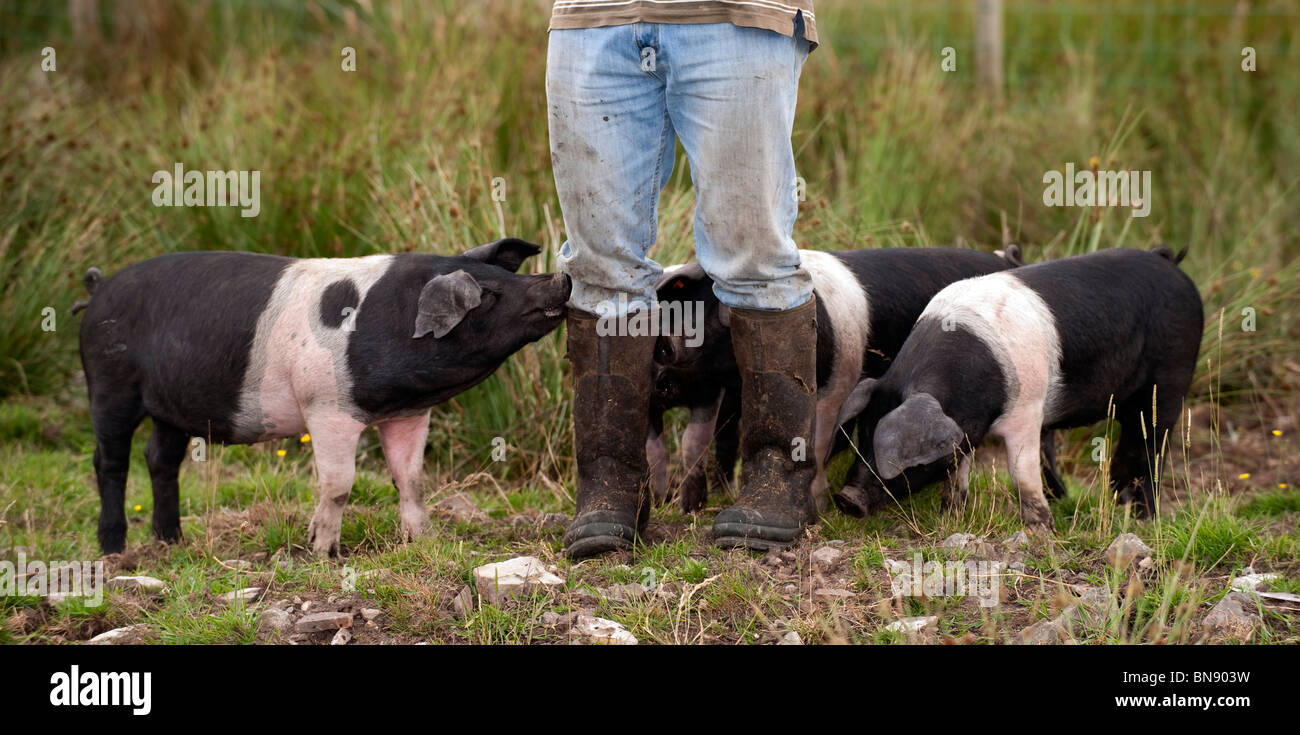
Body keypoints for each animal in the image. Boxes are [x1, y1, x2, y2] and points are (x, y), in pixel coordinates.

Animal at [76, 238, 570, 556]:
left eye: (507, 273)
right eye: (488, 295)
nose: (560, 279)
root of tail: (99, 289)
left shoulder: (409, 413)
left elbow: (410, 480)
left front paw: (425, 543)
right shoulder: (326, 407)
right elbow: (338, 484)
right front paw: (322, 551)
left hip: (171, 408)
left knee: (160, 458)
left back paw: (171, 542)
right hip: (109, 384)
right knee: (110, 461)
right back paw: (113, 549)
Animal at [649, 246, 1032, 513]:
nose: (666, 349)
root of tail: (1008, 257)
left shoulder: (835, 386)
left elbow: (817, 443)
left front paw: (818, 507)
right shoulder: (714, 391)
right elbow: (697, 441)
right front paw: (683, 504)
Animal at [833, 246, 1202, 531]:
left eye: (901, 455)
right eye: (863, 434)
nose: (846, 498)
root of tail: (1169, 262)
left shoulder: (1027, 411)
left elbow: (1021, 473)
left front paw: (1042, 530)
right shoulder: (965, 426)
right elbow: (958, 471)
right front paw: (952, 515)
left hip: (1172, 378)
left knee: (1150, 443)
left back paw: (1140, 516)